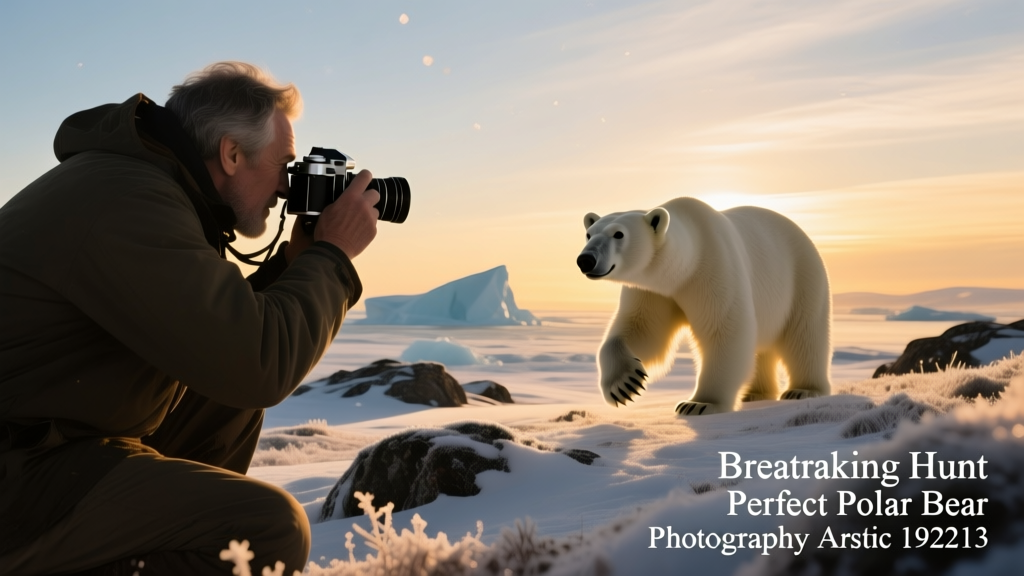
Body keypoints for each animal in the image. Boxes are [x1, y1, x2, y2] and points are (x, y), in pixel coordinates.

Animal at [576, 197, 832, 415]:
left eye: (619, 234)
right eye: (589, 234)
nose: (586, 260)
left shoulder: (713, 269)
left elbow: (724, 330)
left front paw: (700, 404)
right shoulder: (653, 290)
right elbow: (643, 329)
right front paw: (624, 384)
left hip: (802, 277)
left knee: (804, 336)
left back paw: (804, 389)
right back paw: (755, 393)